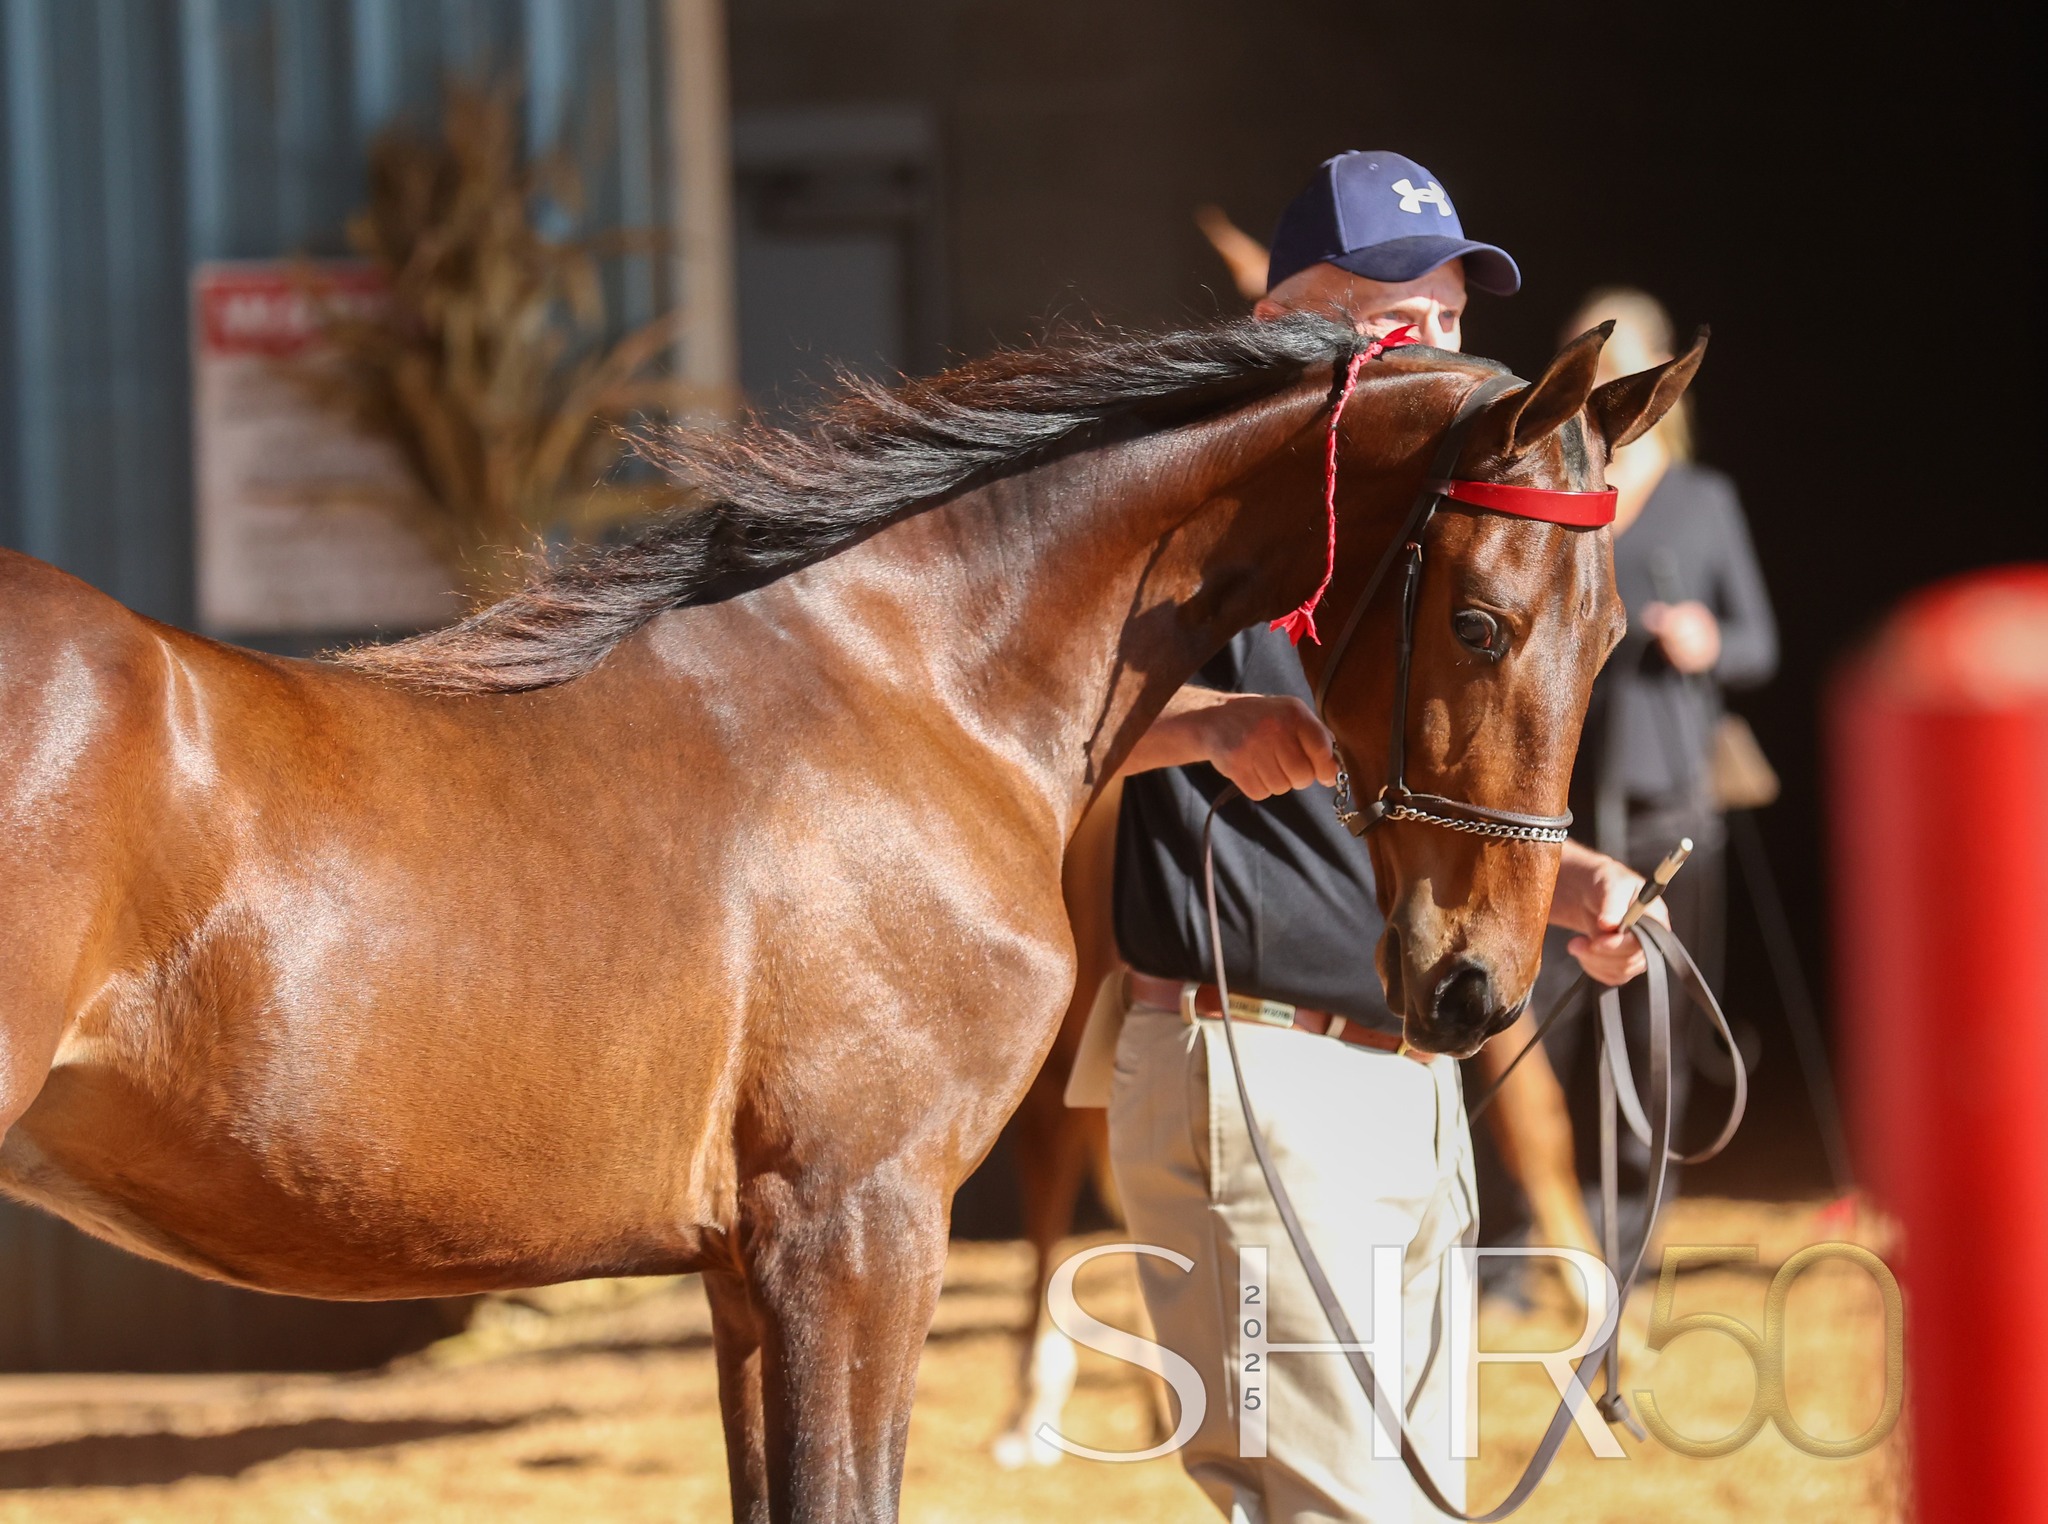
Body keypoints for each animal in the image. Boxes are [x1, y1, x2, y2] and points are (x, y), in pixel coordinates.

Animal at [0, 309, 1700, 1521]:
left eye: (1616, 630)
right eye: (1478, 622)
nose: (1476, 983)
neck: (912, 682)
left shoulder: (746, 1274)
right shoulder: (857, 1227)